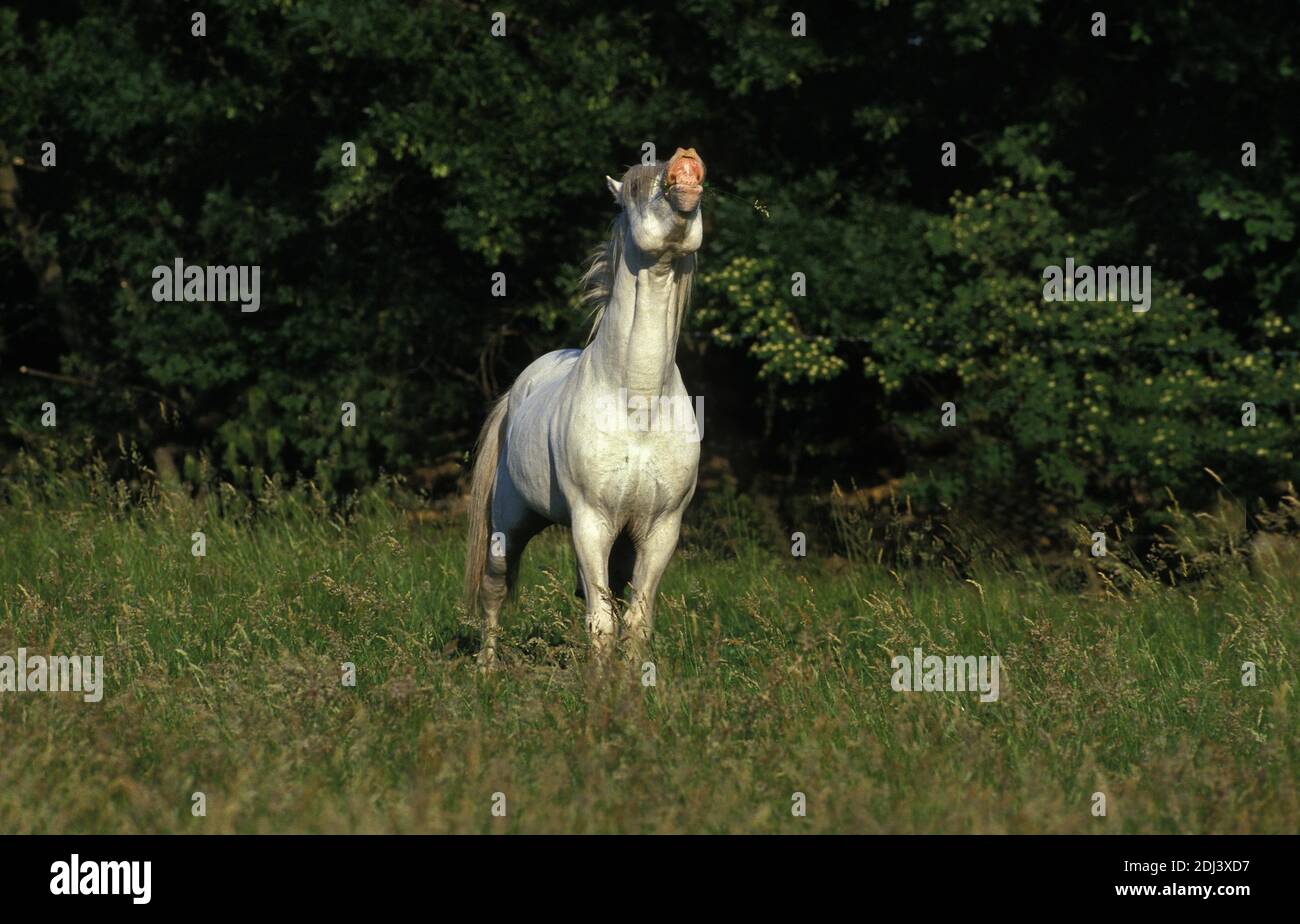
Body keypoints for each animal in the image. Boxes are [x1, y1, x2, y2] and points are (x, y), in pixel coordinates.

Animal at [464, 147, 707, 667]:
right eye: (633, 191)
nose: (685, 164)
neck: (638, 402)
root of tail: (518, 389)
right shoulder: (591, 523)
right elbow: (600, 624)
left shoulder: (659, 530)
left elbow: (634, 624)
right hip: (511, 521)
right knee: (494, 589)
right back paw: (486, 670)